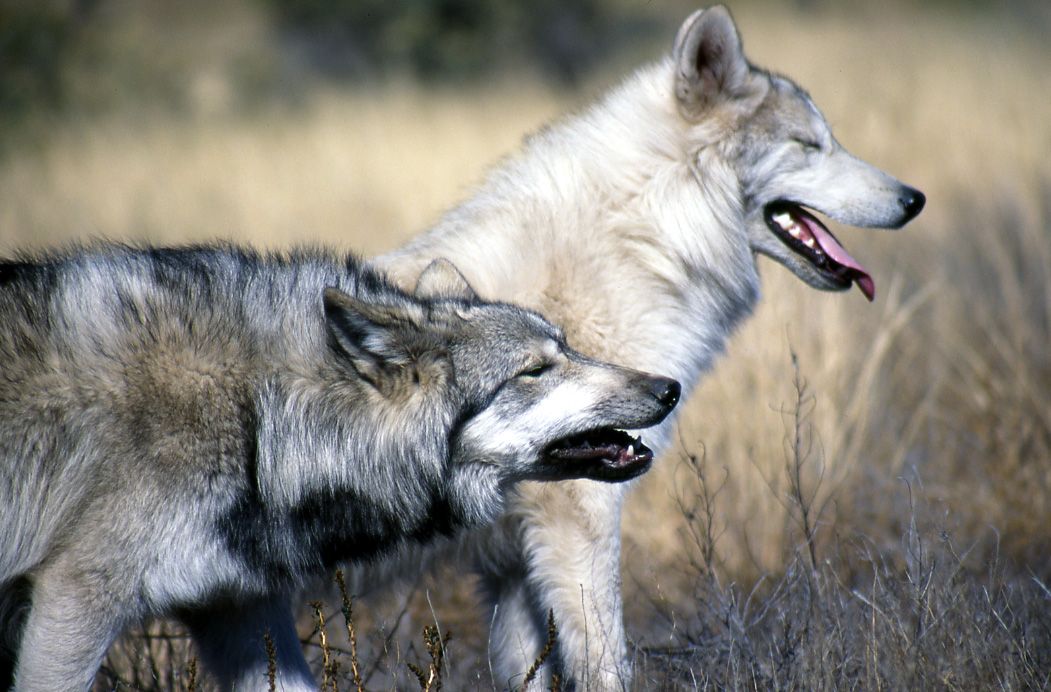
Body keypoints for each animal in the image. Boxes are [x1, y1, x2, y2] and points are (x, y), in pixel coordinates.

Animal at [0, 244, 681, 691]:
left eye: (567, 347)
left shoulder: (236, 607)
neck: (262, 418)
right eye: (535, 370)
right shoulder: (74, 597)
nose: (669, 388)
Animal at [369, 6, 927, 689]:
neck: (645, 241)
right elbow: (609, 665)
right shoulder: (579, 520)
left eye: (829, 139)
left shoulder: (512, 567)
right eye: (808, 145)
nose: (914, 199)